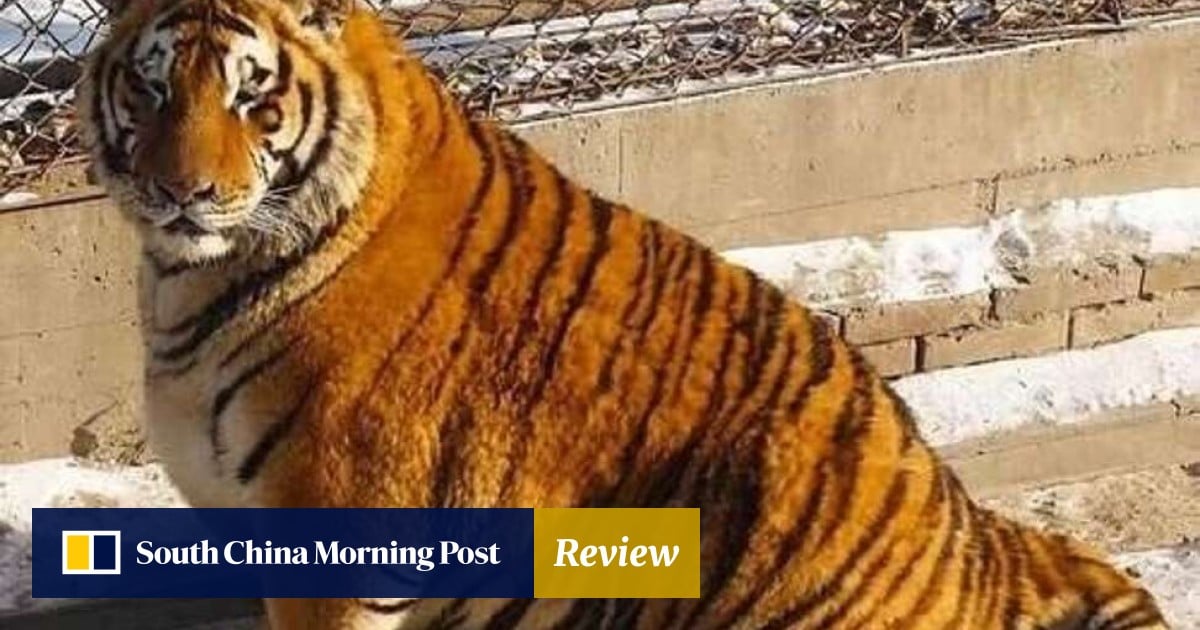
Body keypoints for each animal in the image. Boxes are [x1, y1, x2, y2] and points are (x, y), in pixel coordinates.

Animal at [78, 0, 1168, 628]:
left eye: (252, 101)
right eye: (153, 86)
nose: (180, 192)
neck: (191, 278)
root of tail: (974, 541)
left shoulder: (340, 548)